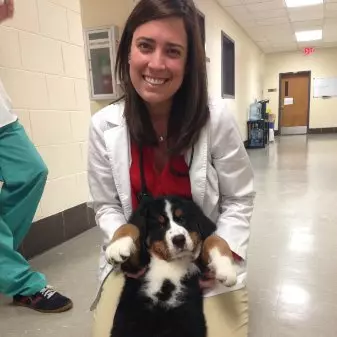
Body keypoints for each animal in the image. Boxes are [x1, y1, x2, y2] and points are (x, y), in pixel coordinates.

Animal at [105, 196, 236, 334]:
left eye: (182, 219)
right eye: (160, 224)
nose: (179, 239)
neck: (171, 261)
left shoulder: (200, 268)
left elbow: (213, 239)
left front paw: (226, 269)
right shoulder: (137, 267)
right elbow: (129, 225)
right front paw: (117, 246)